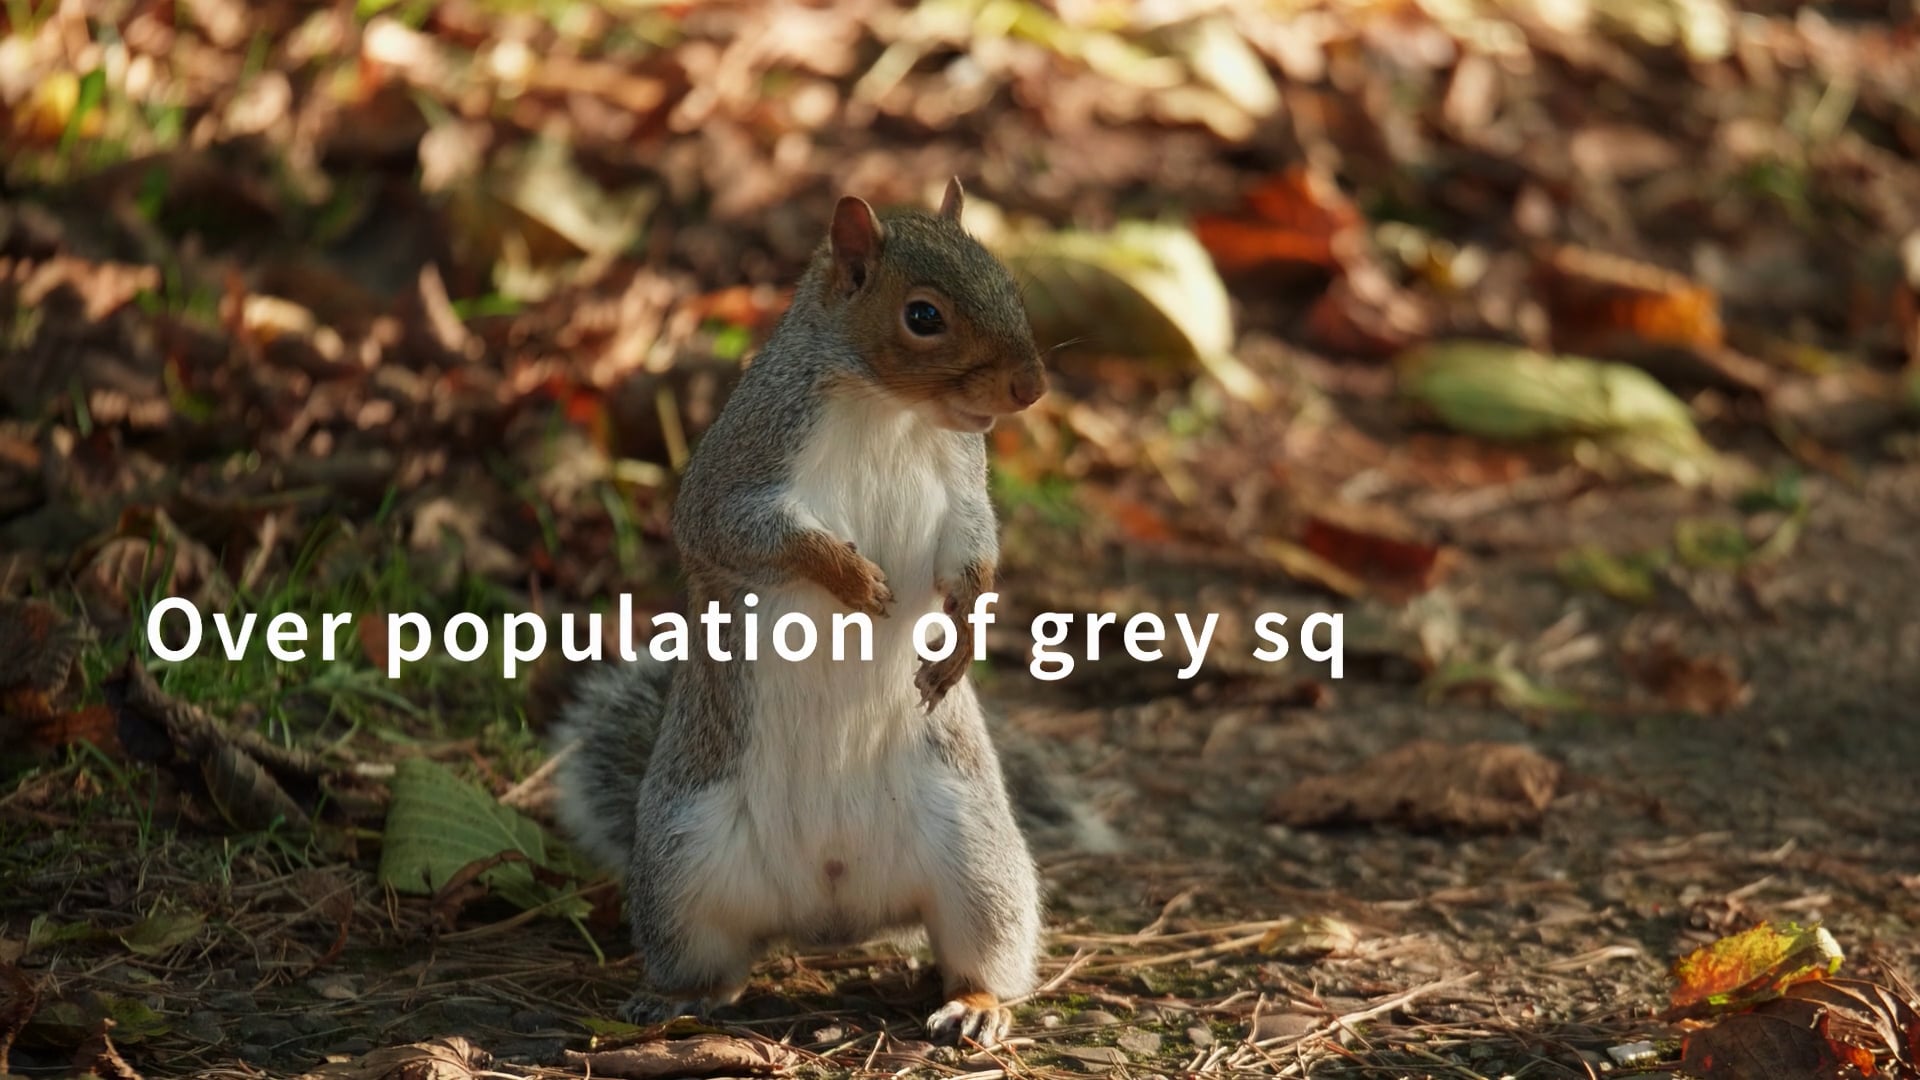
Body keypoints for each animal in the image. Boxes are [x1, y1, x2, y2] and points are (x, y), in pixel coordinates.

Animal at [550, 178, 1108, 1048]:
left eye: (1008, 283)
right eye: (923, 316)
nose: (1031, 389)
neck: (890, 411)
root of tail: (831, 914)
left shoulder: (962, 484)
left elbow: (973, 553)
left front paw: (965, 634)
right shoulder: (745, 463)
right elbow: (741, 529)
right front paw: (853, 580)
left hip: (979, 860)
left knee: (981, 950)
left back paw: (975, 1006)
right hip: (682, 865)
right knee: (713, 964)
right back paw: (670, 1000)